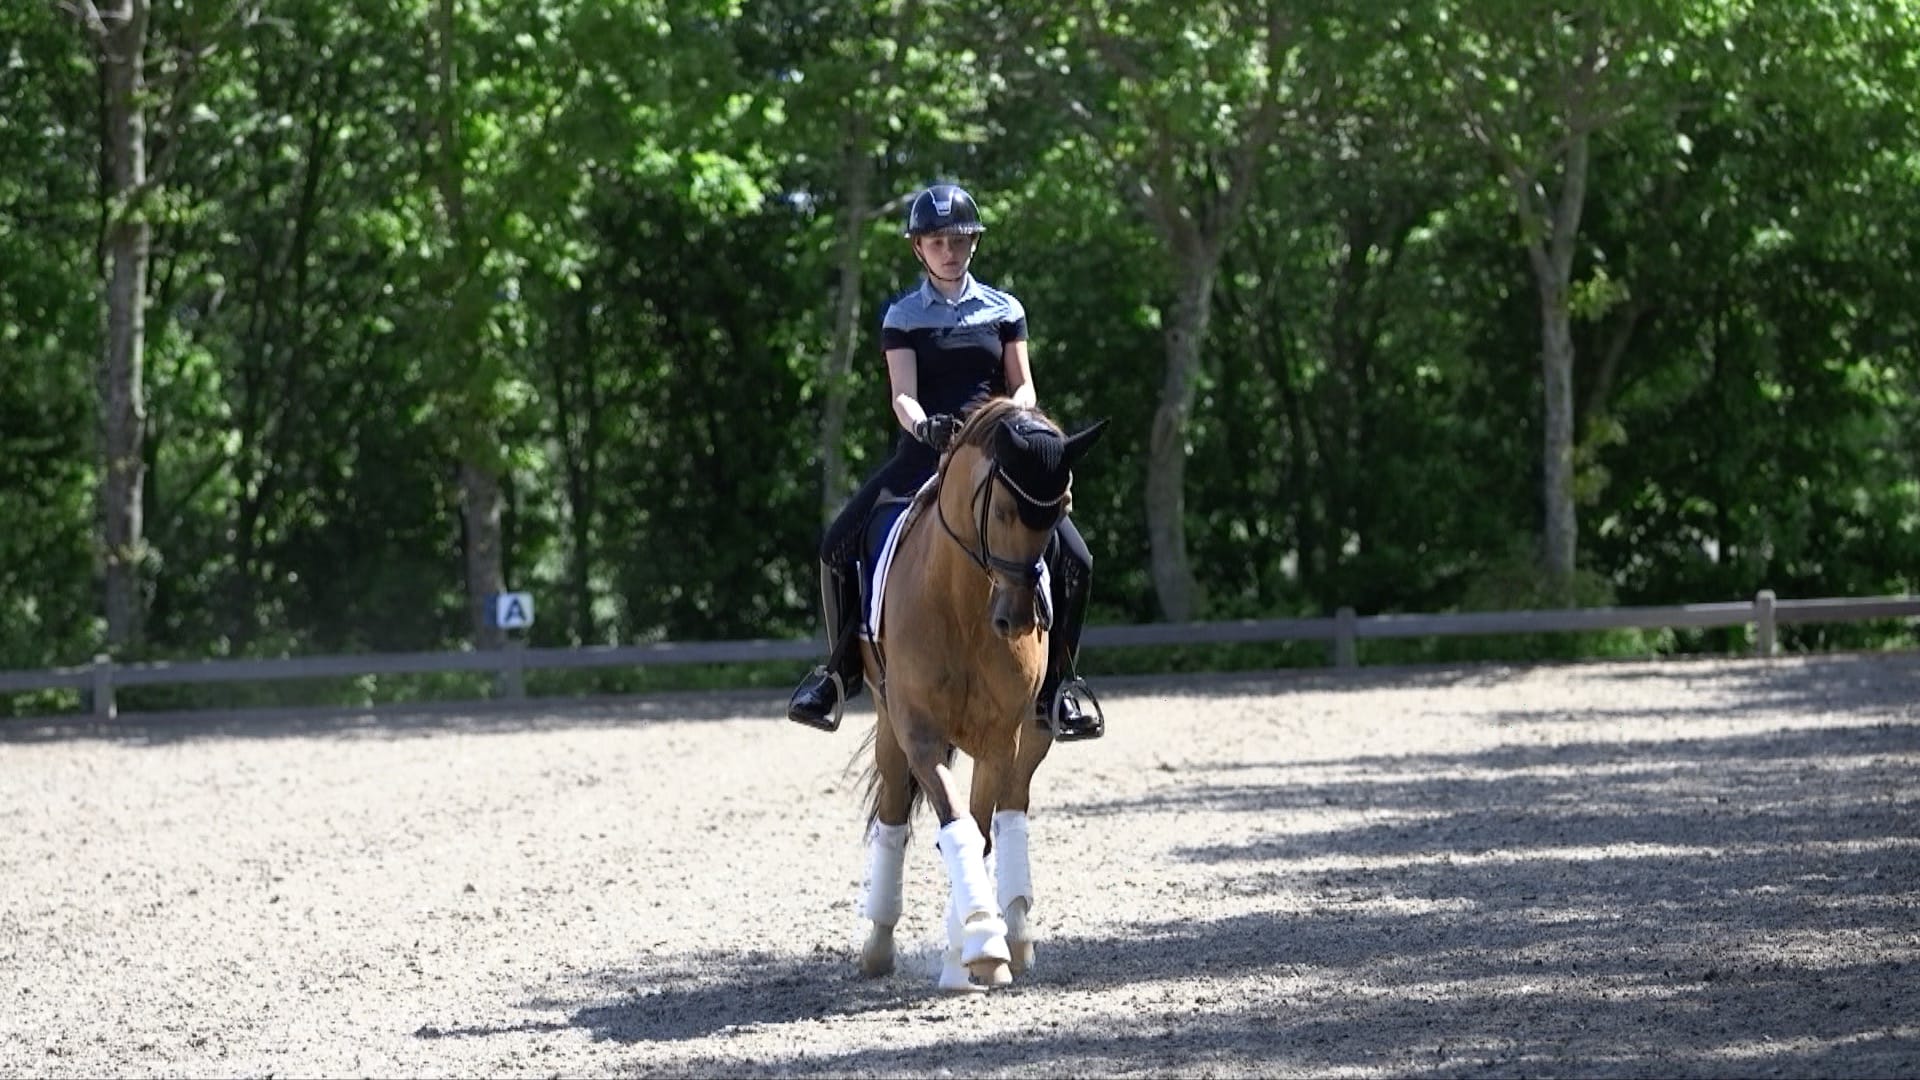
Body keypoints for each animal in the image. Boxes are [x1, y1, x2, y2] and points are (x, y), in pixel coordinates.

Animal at [852, 396, 1106, 993]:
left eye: (1060, 510)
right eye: (1005, 512)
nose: (1018, 620)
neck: (963, 604)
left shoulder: (999, 737)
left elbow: (980, 830)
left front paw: (979, 946)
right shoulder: (918, 733)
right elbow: (956, 823)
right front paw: (978, 944)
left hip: (1034, 732)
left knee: (1012, 808)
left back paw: (1013, 933)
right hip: (890, 727)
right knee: (894, 811)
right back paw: (879, 947)